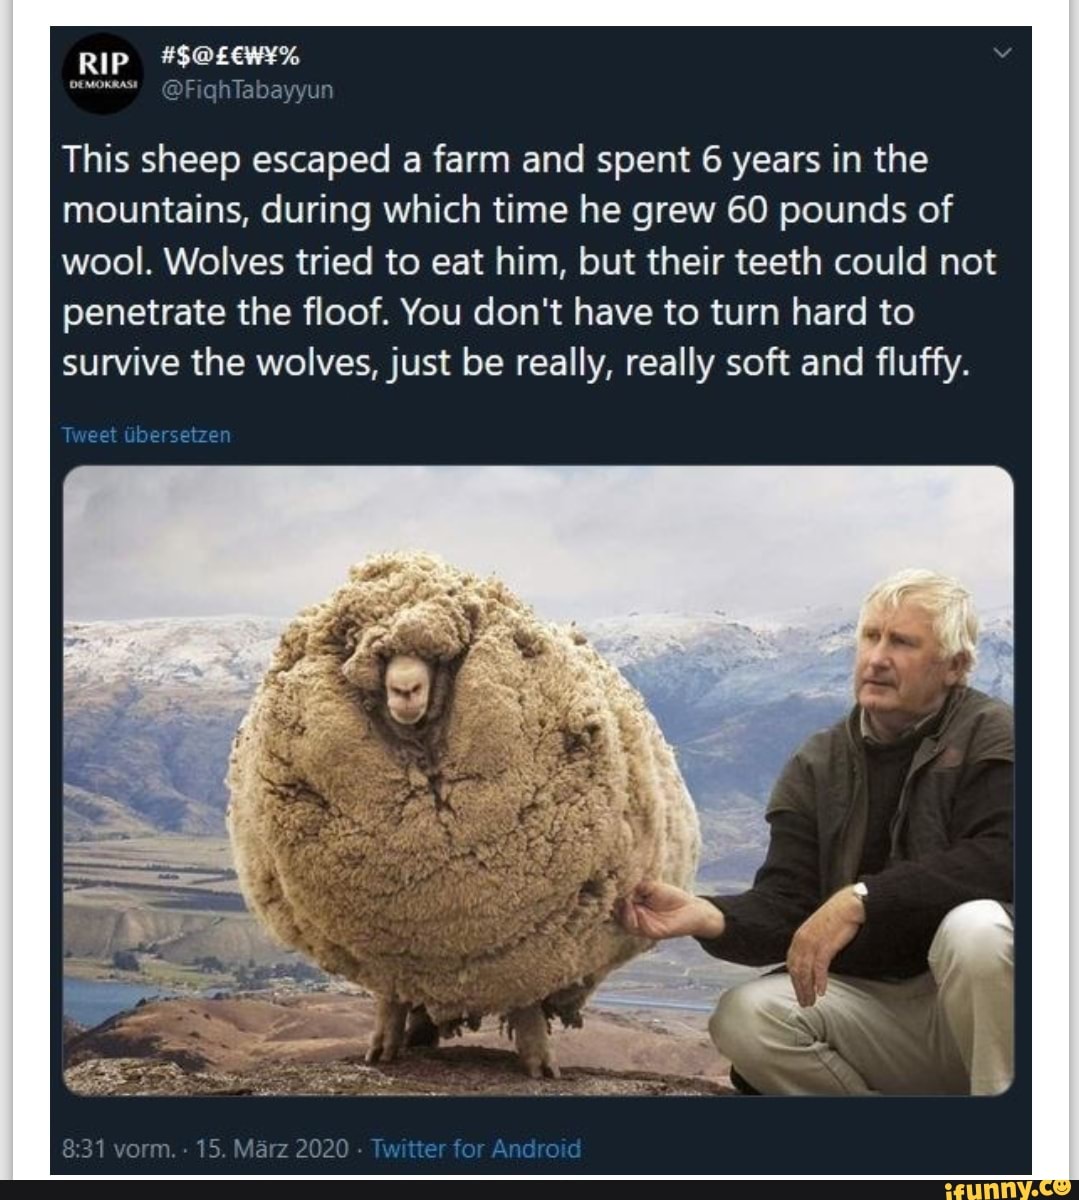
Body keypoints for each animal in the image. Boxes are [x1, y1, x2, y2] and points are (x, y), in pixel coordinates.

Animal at [226, 551, 700, 1078]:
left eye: (439, 660)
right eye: (373, 655)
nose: (405, 689)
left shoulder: (538, 943)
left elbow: (527, 1002)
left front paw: (538, 1060)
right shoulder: (386, 947)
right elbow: (389, 995)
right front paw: (383, 1046)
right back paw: (415, 1033)